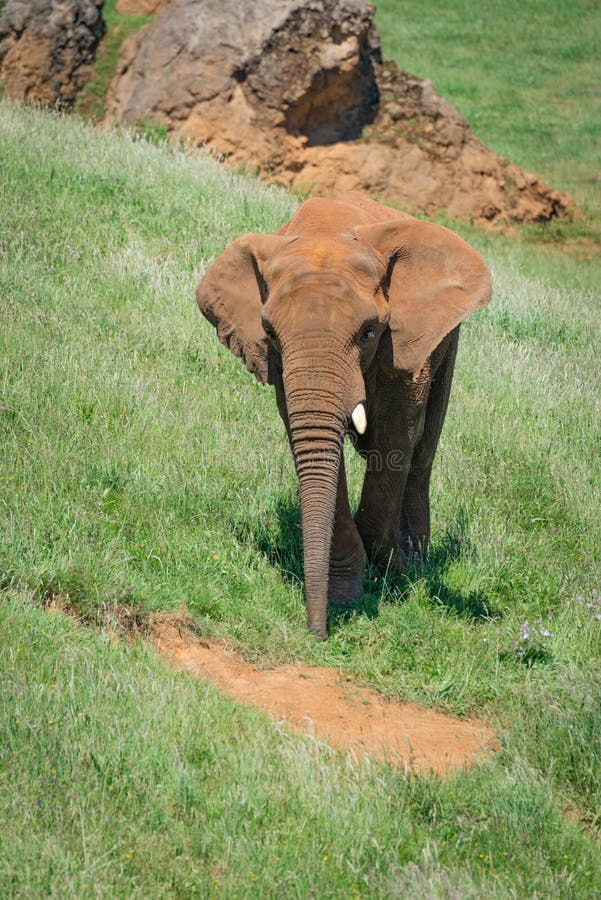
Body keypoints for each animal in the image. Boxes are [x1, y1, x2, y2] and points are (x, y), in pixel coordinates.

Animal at [196, 191, 491, 638]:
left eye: (369, 332)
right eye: (270, 334)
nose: (315, 634)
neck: (327, 231)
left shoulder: (406, 341)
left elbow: (395, 436)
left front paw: (389, 572)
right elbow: (311, 441)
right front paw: (346, 593)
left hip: (446, 338)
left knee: (423, 449)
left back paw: (415, 562)